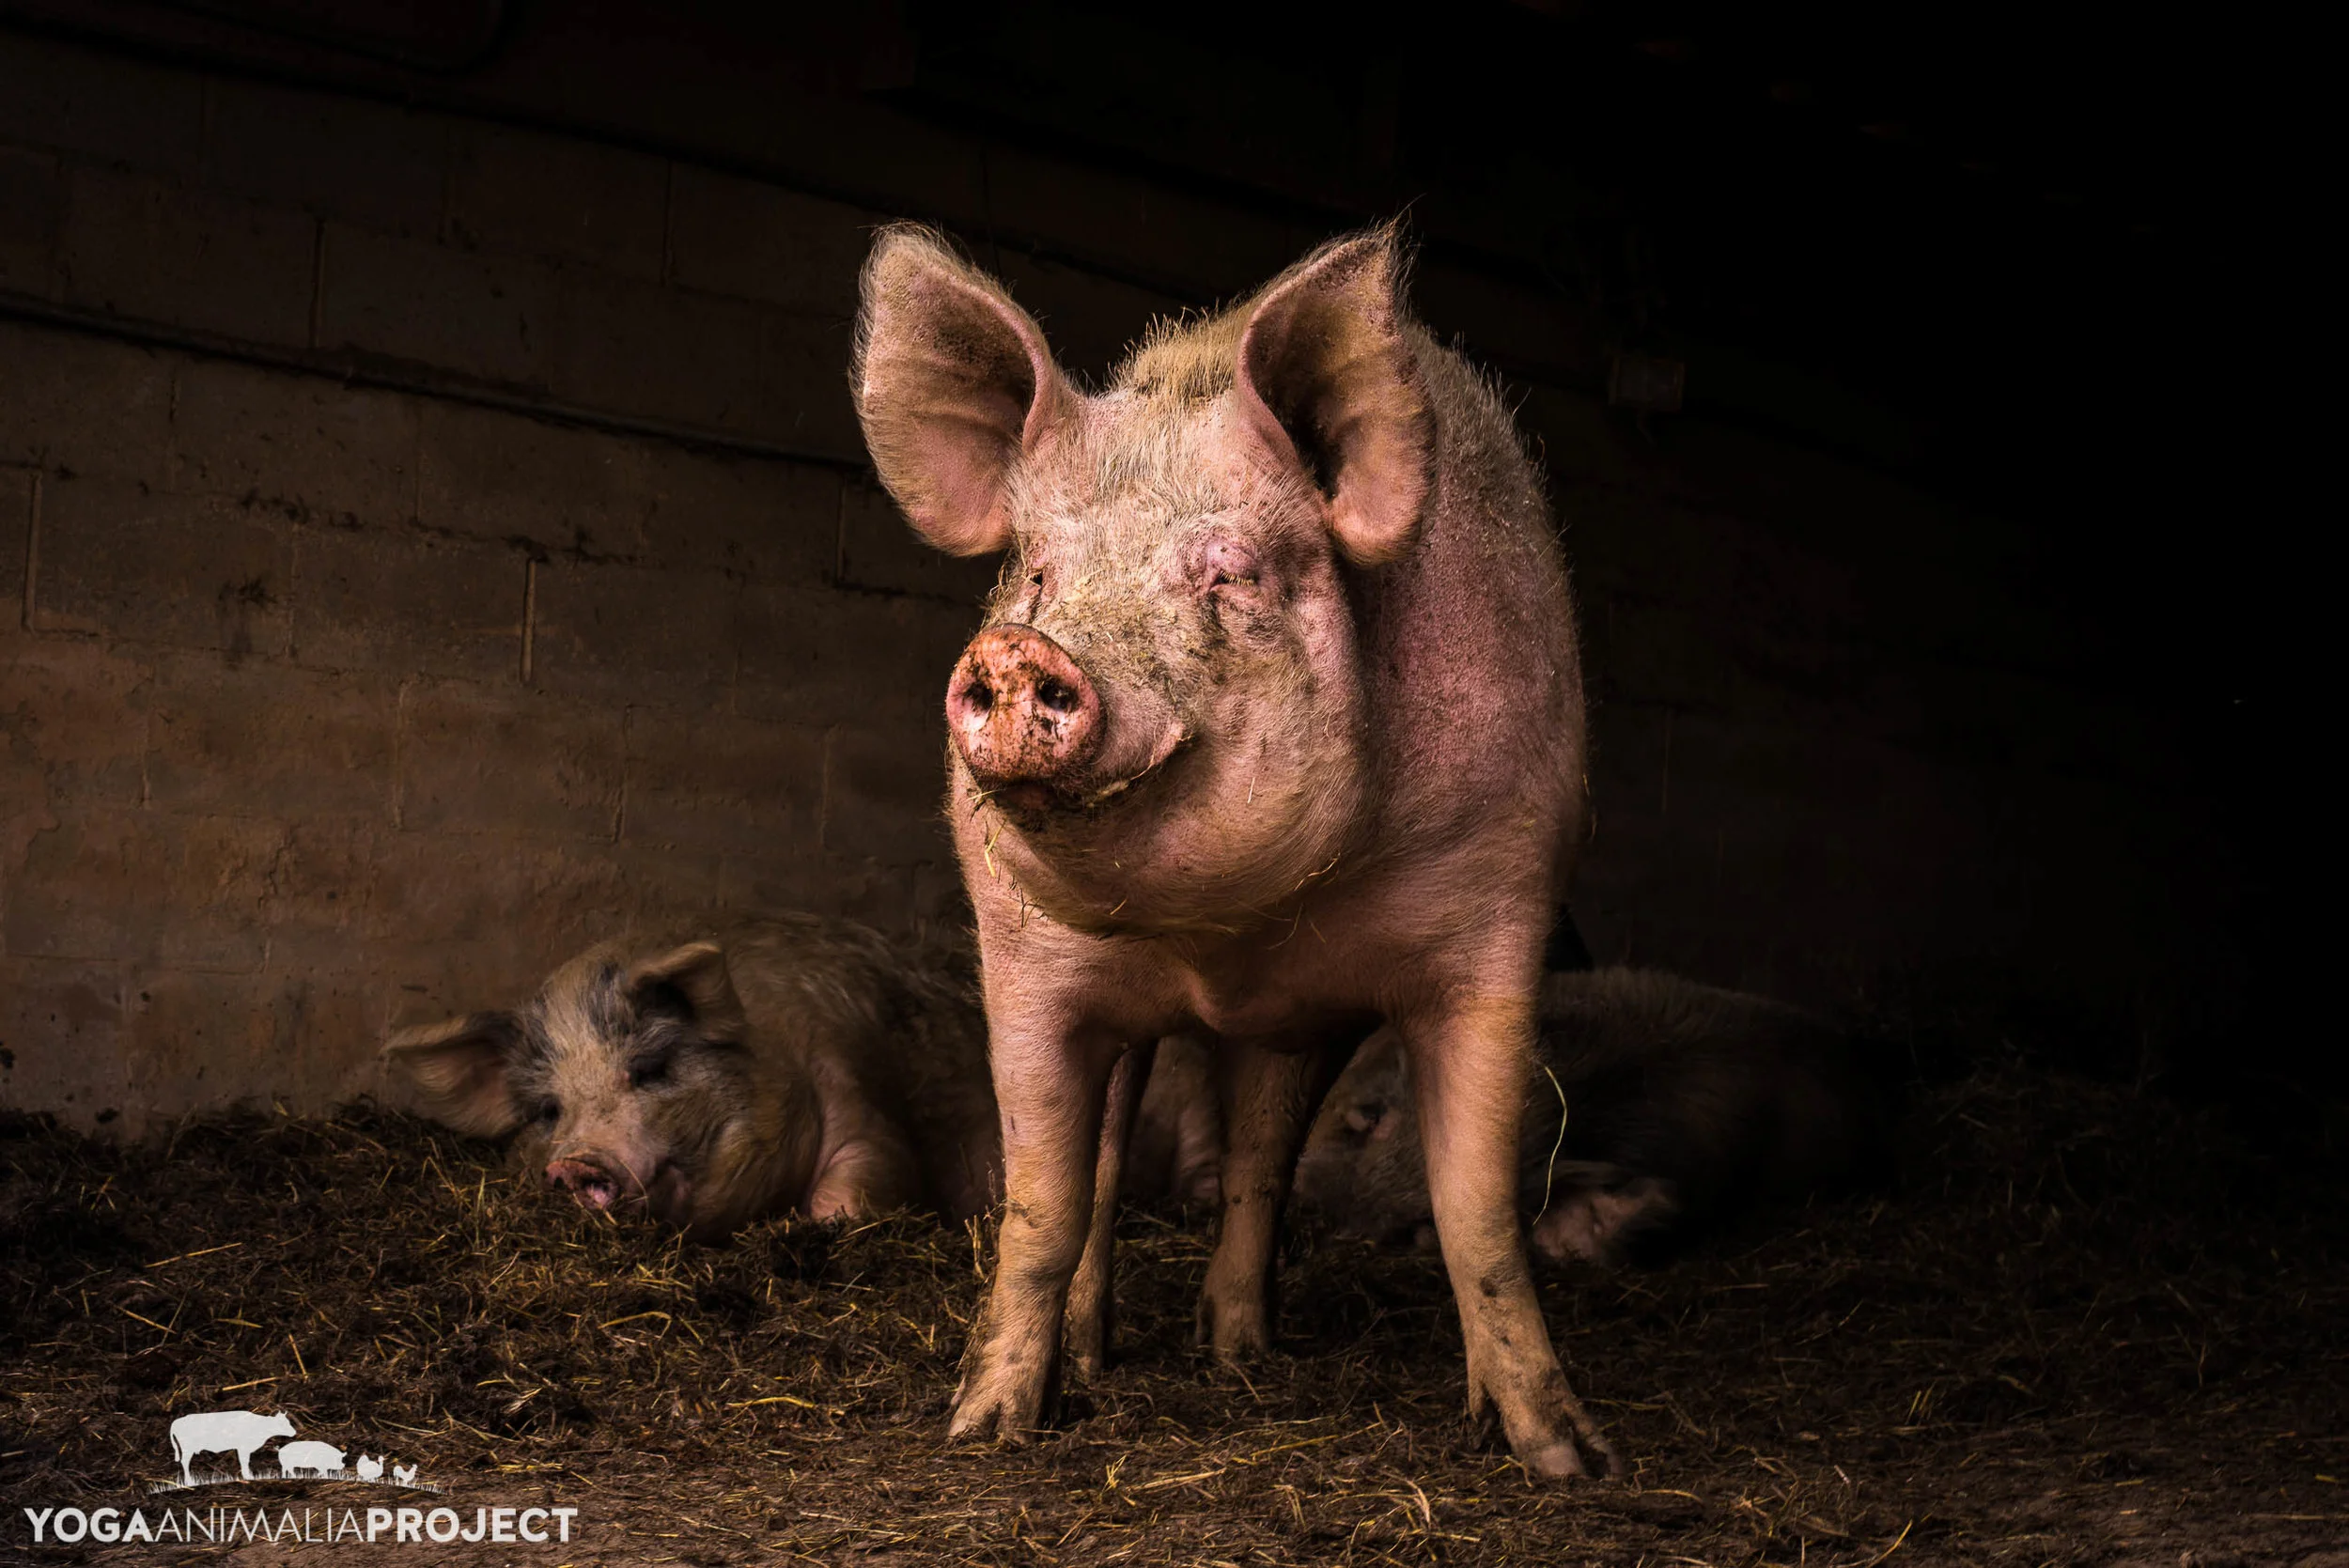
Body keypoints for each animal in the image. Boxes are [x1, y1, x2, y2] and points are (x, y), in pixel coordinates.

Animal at [854, 222, 1613, 1475]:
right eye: (1037, 571)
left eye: (1231, 572)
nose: (1018, 651)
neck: (1225, 936)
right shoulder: (1021, 959)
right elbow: (1041, 1204)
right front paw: (983, 1430)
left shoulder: (1500, 914)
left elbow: (1478, 1211)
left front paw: (1566, 1460)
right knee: (1115, 1163)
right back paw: (1095, 1361)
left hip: (1311, 1021)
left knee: (1261, 1150)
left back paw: (1242, 1355)